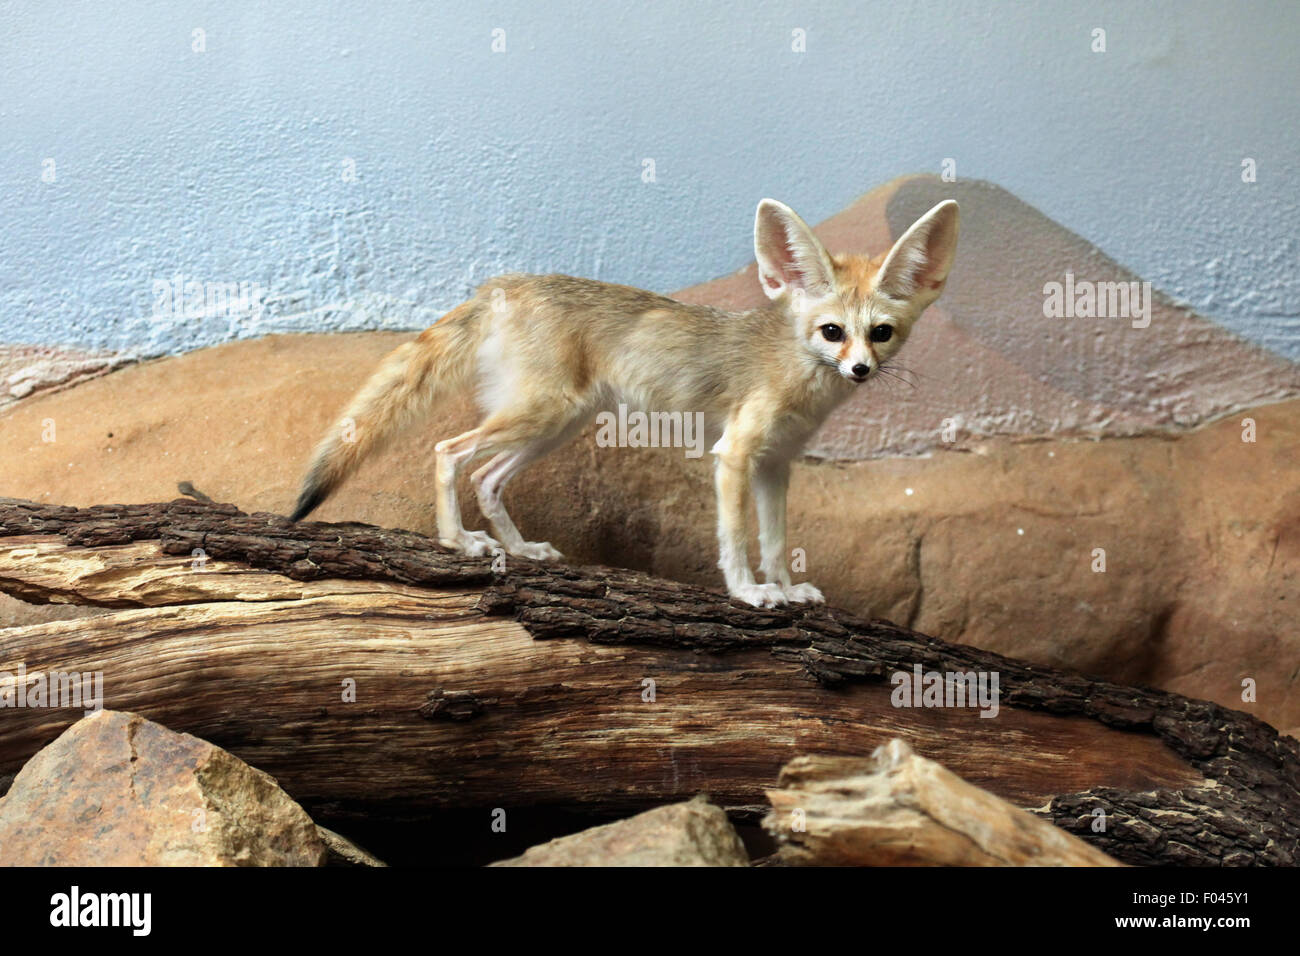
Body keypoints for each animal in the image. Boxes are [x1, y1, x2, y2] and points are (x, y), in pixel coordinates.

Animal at [290, 197, 959, 607]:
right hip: (542, 415)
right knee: (449, 451)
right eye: (831, 331)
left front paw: (787, 589)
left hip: (557, 425)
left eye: (880, 333)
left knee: (486, 477)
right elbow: (737, 538)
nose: (861, 370)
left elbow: (775, 541)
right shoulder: (734, 455)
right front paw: (748, 593)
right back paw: (459, 542)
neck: (798, 371)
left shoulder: (776, 464)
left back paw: (520, 550)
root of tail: (505, 285)